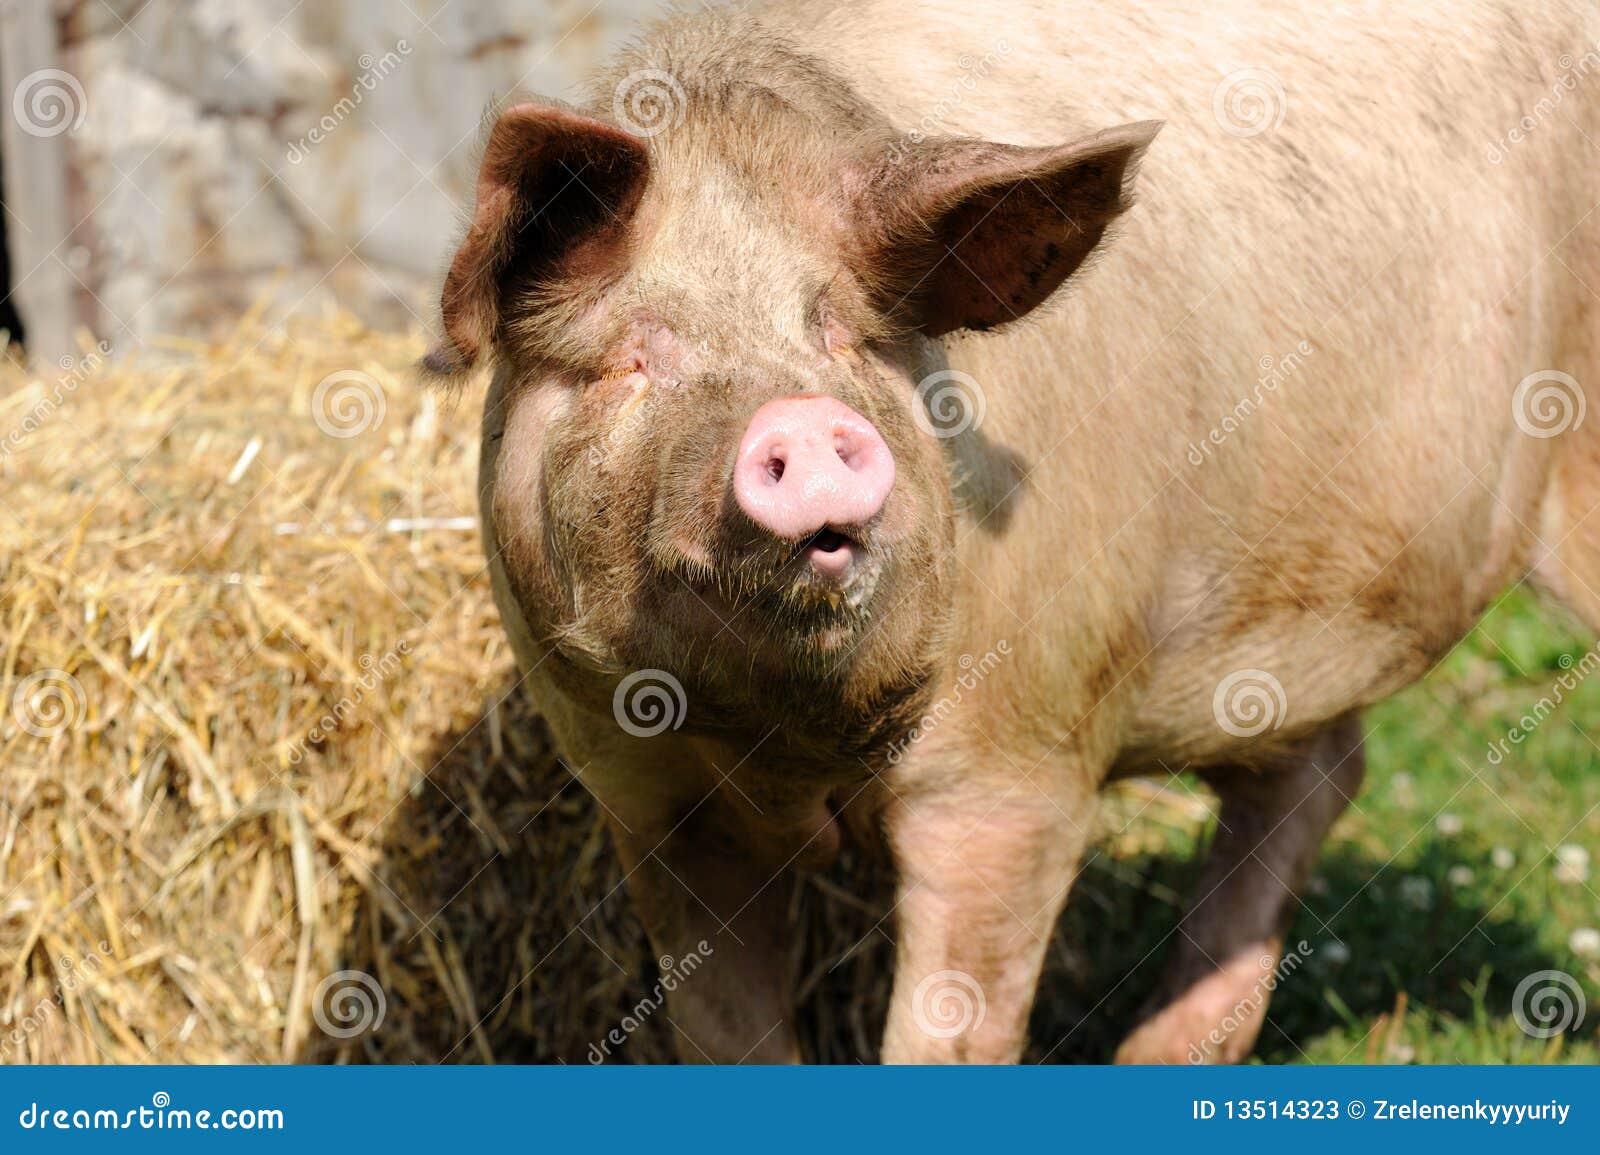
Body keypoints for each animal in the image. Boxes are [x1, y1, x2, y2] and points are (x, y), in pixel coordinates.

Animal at [425, 0, 1600, 1063]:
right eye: (631, 356)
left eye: (850, 337)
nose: (800, 418)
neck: (790, 747)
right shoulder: (651, 803)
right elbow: (725, 1037)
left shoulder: (1021, 754)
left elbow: (954, 1026)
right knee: (1316, 776)